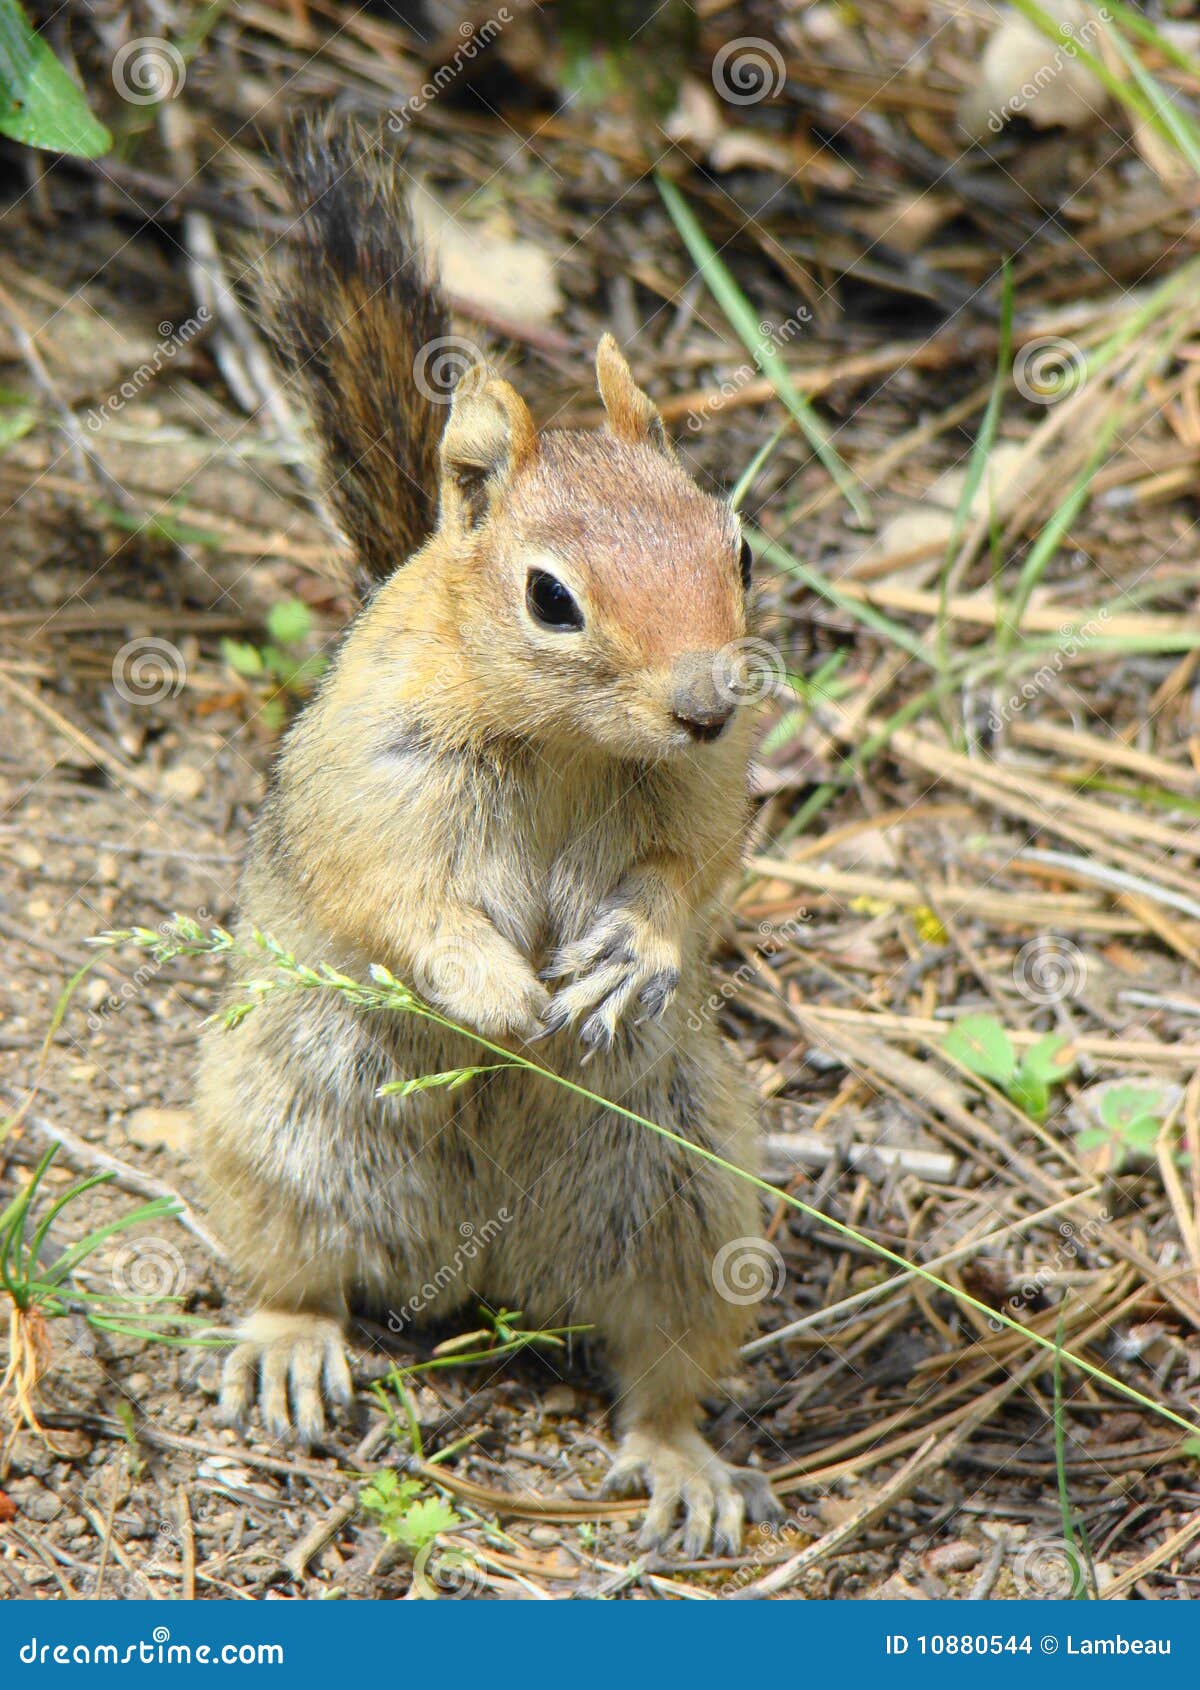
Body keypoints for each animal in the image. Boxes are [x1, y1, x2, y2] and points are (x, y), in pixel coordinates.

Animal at [195, 115, 781, 1556]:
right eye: (551, 598)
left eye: (736, 545)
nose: (705, 703)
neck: (571, 746)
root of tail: (482, 1265)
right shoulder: (380, 787)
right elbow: (399, 896)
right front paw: (499, 992)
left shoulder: (703, 796)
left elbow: (690, 876)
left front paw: (631, 960)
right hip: (274, 1129)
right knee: (291, 1268)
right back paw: (289, 1347)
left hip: (693, 1202)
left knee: (661, 1364)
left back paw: (682, 1462)